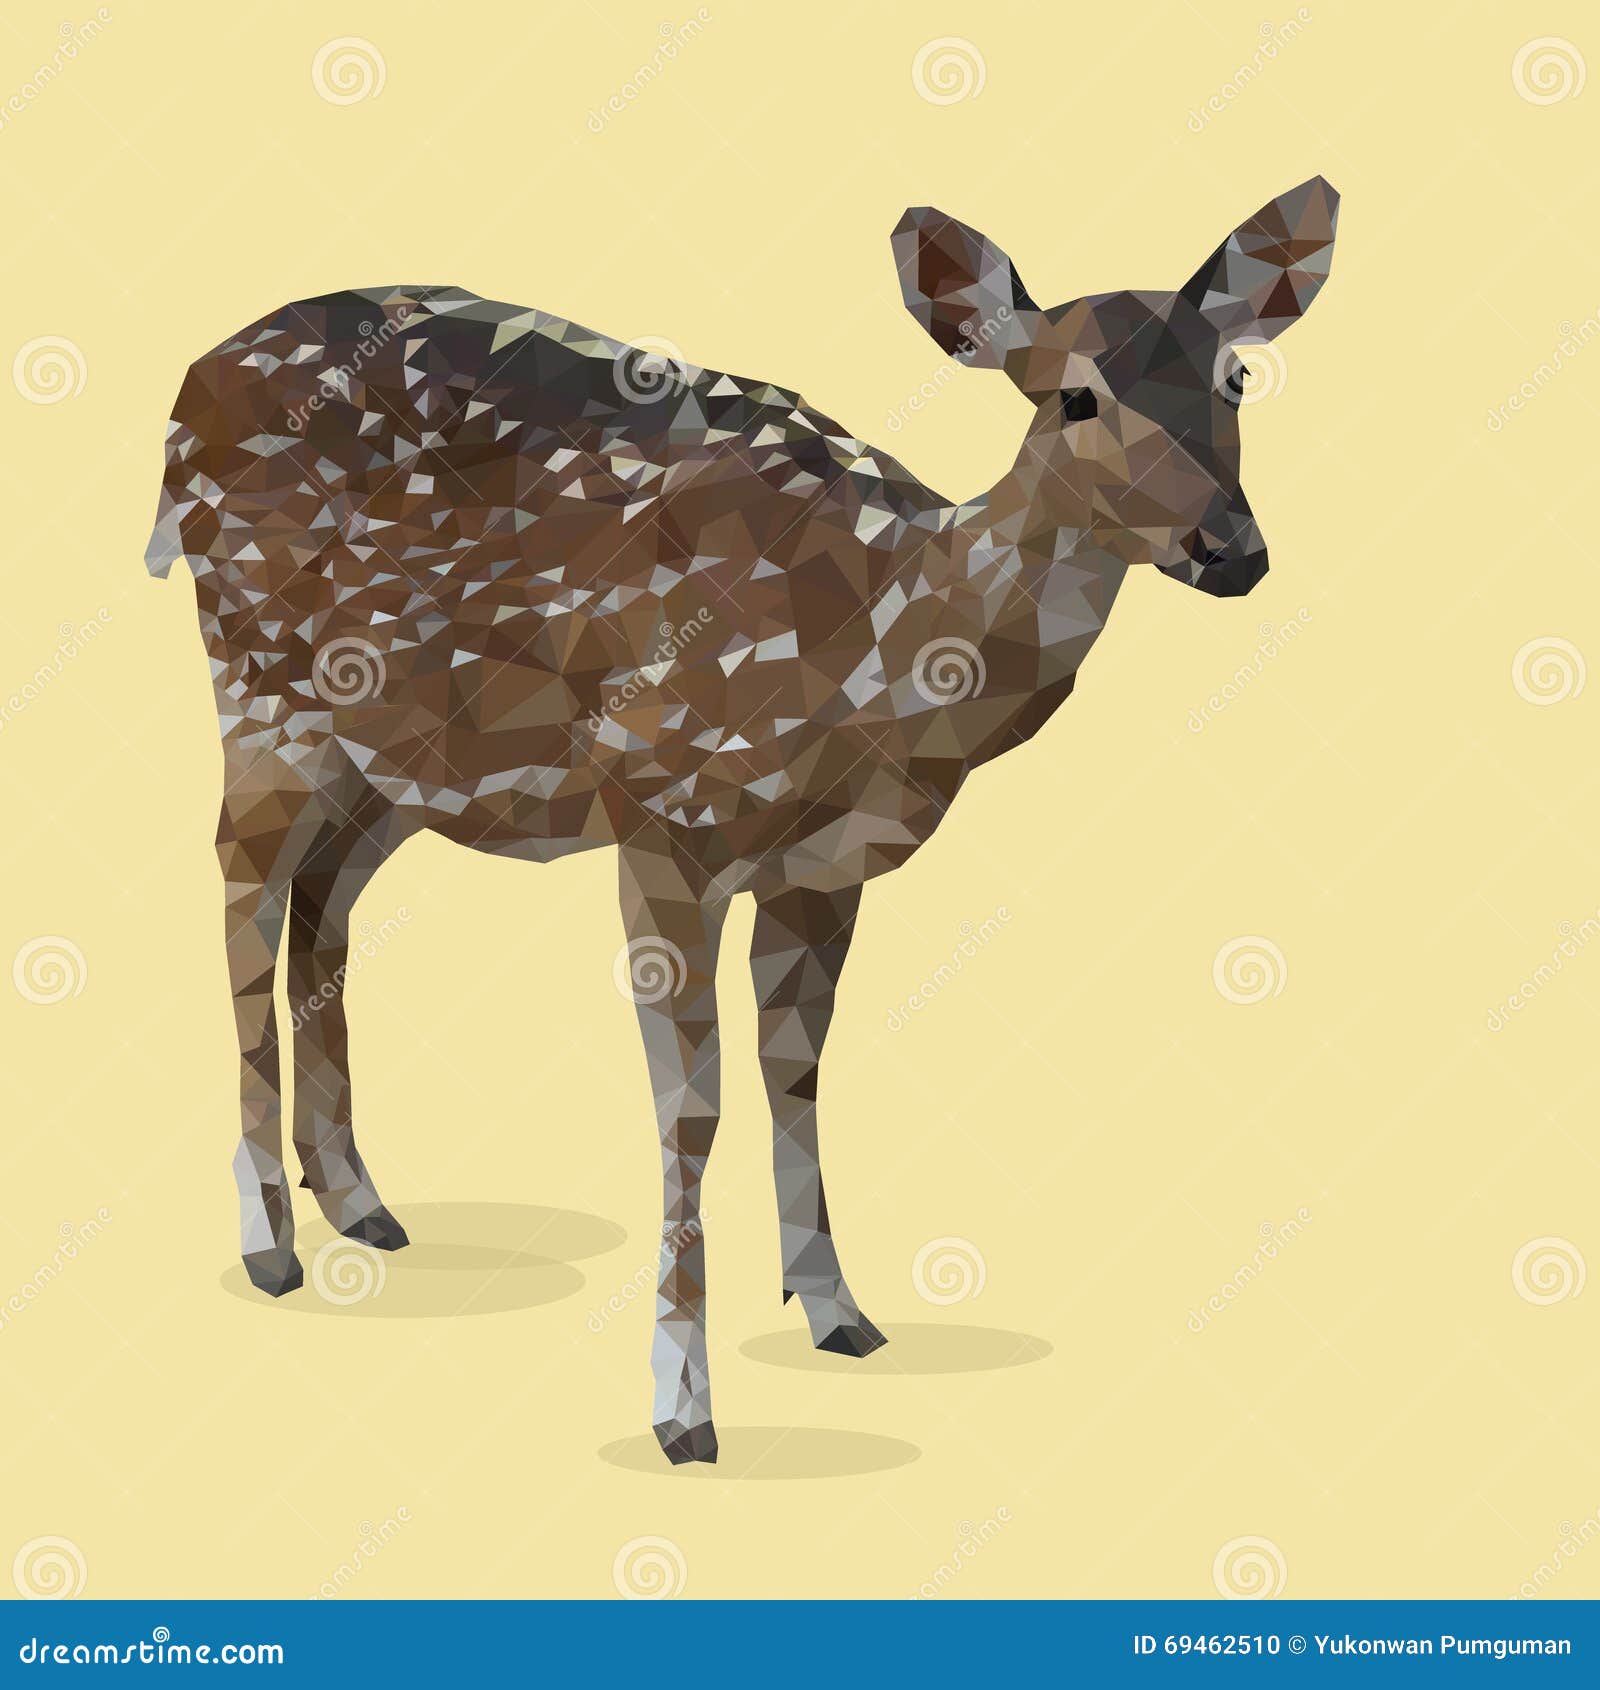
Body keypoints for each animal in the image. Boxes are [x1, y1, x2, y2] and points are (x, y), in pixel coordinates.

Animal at [145, 178, 1338, 1464]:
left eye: (1236, 377)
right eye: (1072, 394)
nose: (1232, 550)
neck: (879, 652)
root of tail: (182, 395)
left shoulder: (820, 872)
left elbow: (797, 1076)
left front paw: (836, 1312)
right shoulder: (663, 814)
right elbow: (692, 1111)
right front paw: (684, 1409)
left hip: (397, 757)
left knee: (322, 906)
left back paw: (362, 1203)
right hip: (257, 682)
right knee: (239, 891)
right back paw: (269, 1241)